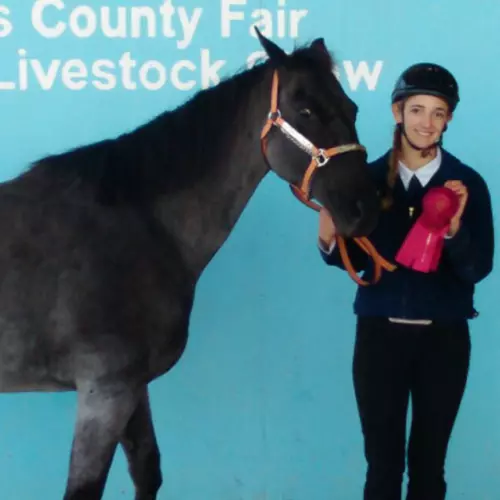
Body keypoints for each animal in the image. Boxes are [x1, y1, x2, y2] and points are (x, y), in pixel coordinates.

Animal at [0, 29, 378, 498]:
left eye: (352, 108)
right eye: (305, 109)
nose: (365, 208)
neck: (143, 227)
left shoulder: (131, 386)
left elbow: (148, 470)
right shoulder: (104, 391)